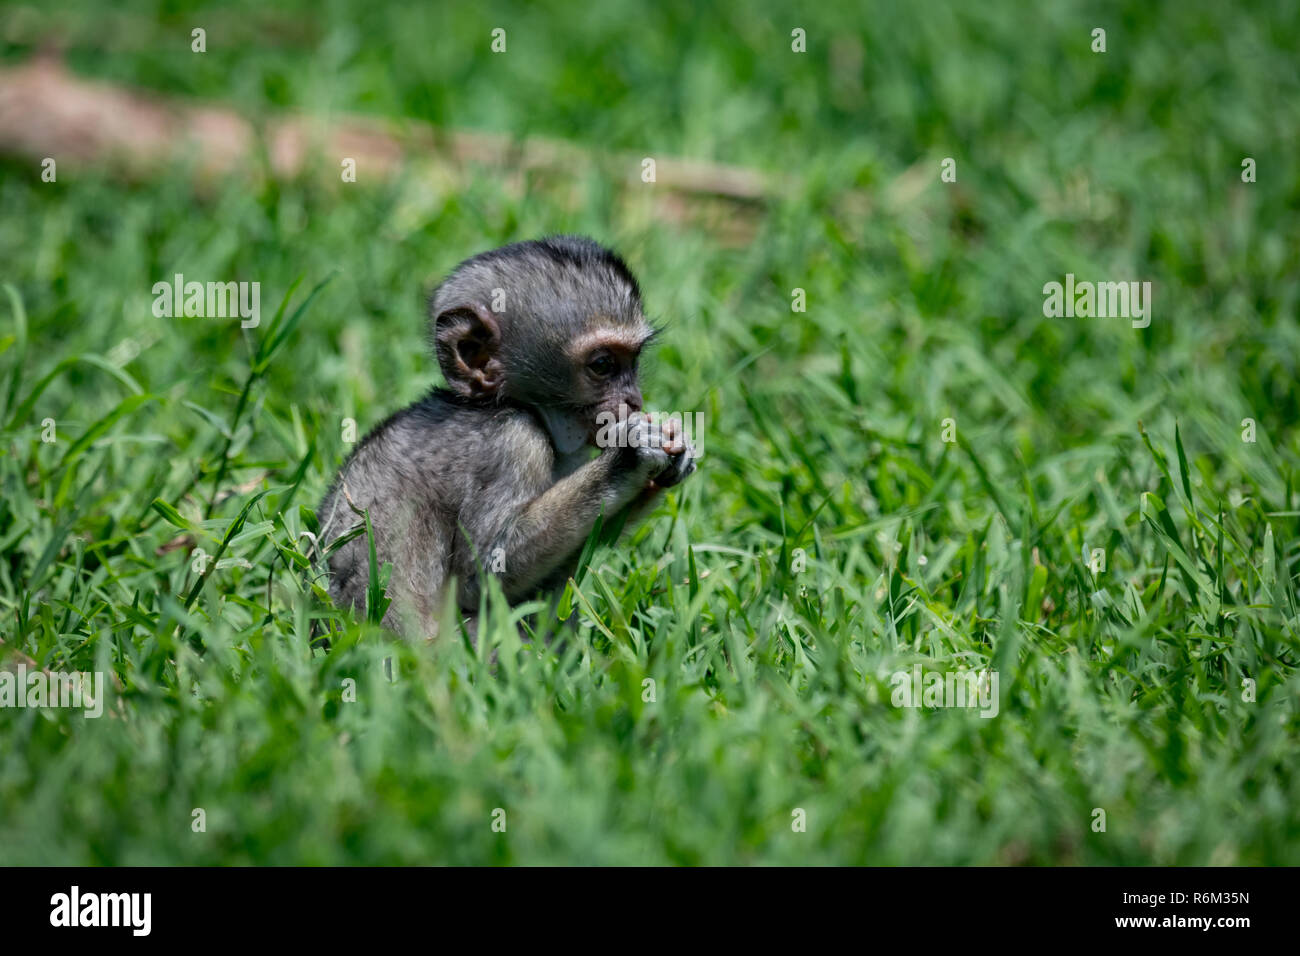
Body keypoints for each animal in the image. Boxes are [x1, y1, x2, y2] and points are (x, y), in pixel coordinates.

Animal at [316, 236, 697, 639]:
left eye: (633, 363)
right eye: (602, 365)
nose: (633, 400)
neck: (508, 404)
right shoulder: (512, 441)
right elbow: (482, 575)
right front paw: (630, 456)